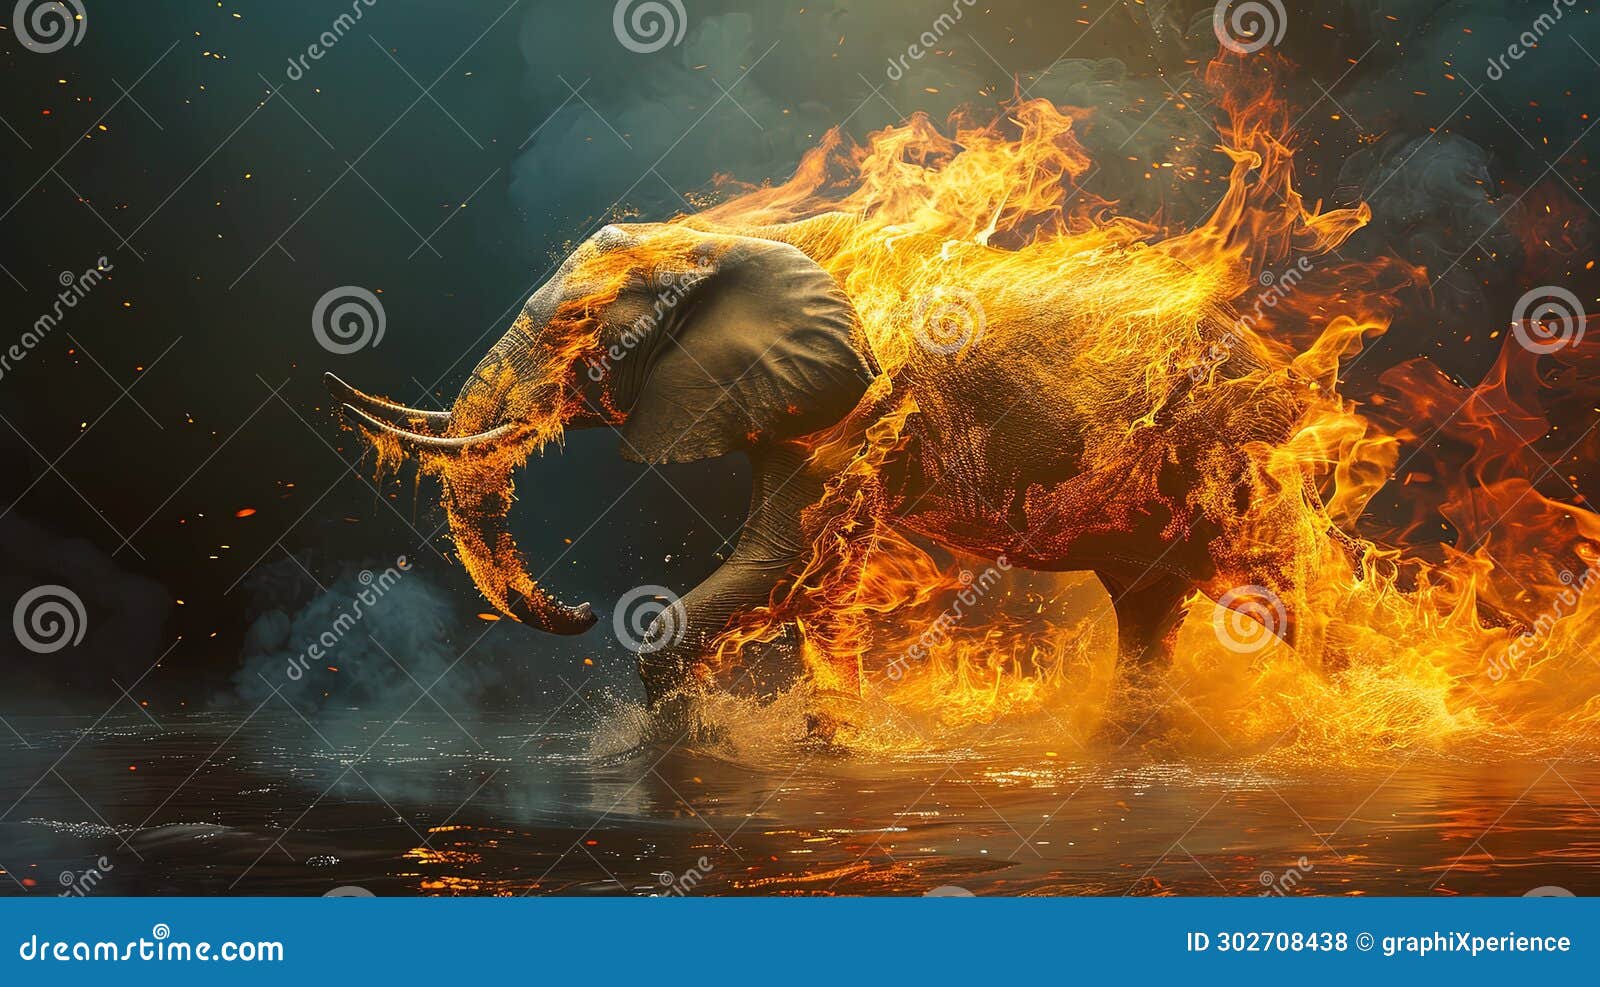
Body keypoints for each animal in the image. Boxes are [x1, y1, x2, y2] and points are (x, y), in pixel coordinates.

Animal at [328, 215, 1351, 709]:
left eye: (577, 330)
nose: (577, 610)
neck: (732, 243)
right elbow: (802, 573)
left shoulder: (863, 407)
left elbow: (788, 563)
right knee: (1147, 610)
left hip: (1235, 461)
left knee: (1292, 596)